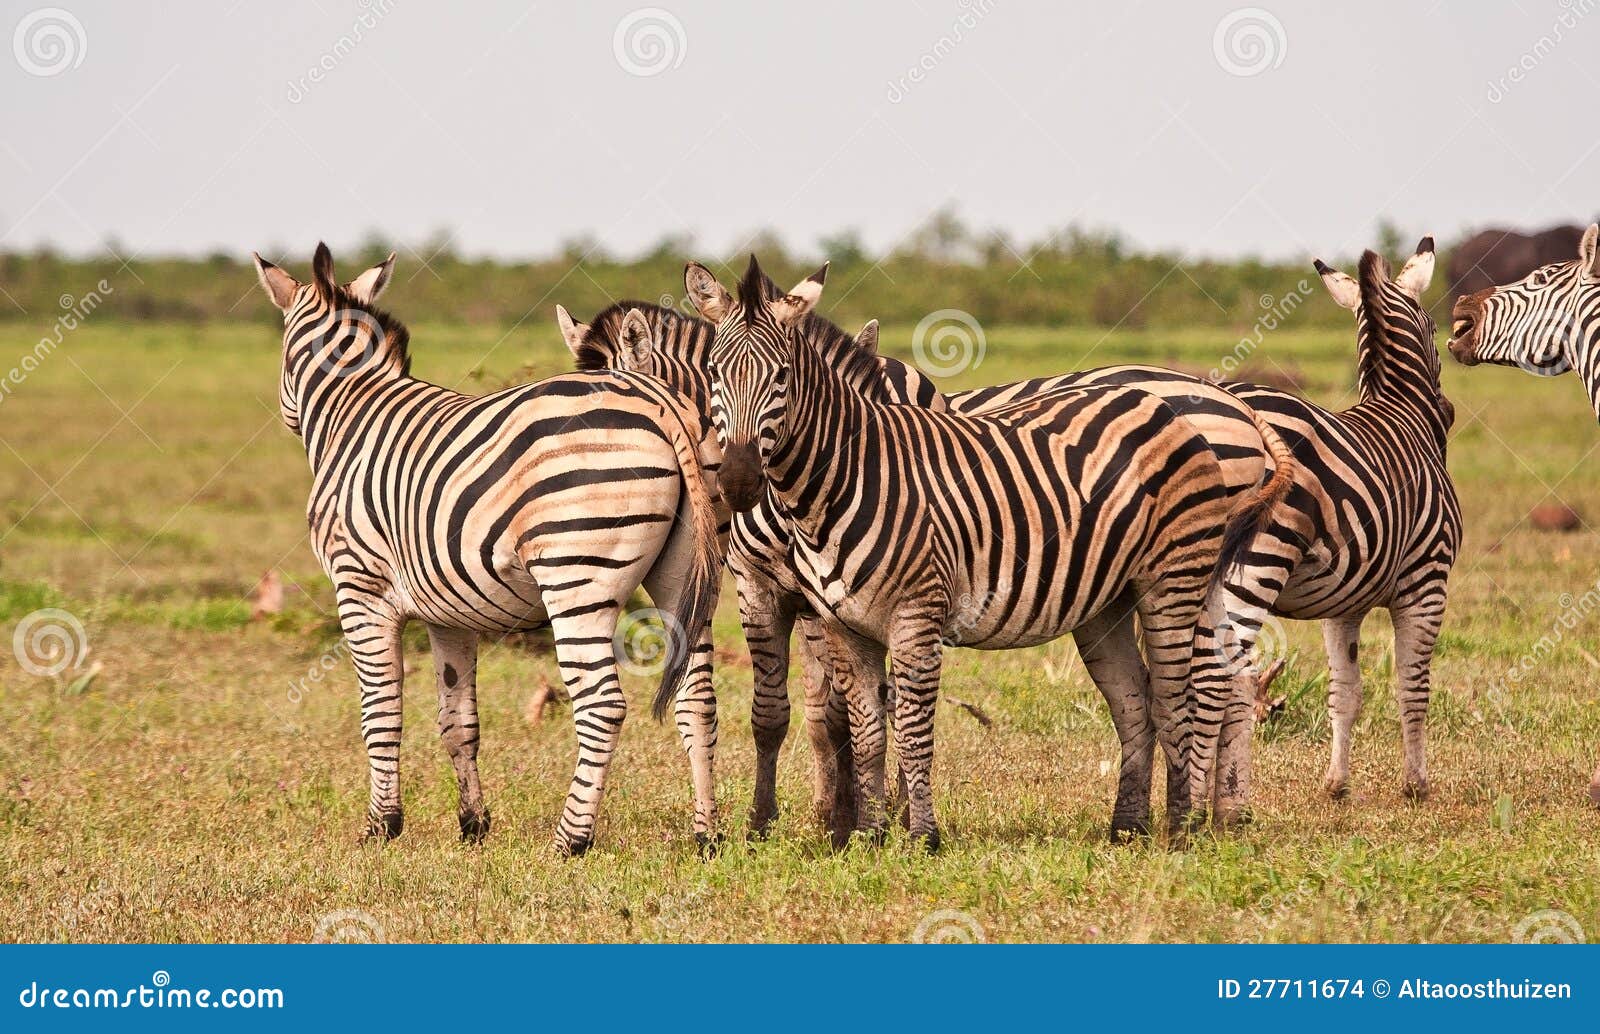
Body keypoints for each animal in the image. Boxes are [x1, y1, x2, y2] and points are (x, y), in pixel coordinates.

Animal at [252, 243, 722, 856]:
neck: (353, 412)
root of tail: (654, 398)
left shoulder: (359, 589)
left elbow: (380, 714)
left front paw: (382, 826)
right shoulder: (448, 611)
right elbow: (457, 721)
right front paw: (473, 824)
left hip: (576, 576)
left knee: (602, 705)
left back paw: (568, 841)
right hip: (681, 574)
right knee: (697, 697)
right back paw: (706, 833)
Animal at [695, 258, 1290, 847]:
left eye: (781, 376)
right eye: (715, 375)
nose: (739, 482)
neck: (842, 483)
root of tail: (1180, 402)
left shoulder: (914, 614)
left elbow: (911, 731)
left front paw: (920, 838)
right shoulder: (843, 625)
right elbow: (866, 733)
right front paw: (866, 835)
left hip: (1173, 580)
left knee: (1179, 699)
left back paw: (1182, 831)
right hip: (1109, 601)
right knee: (1136, 702)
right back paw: (1129, 829)